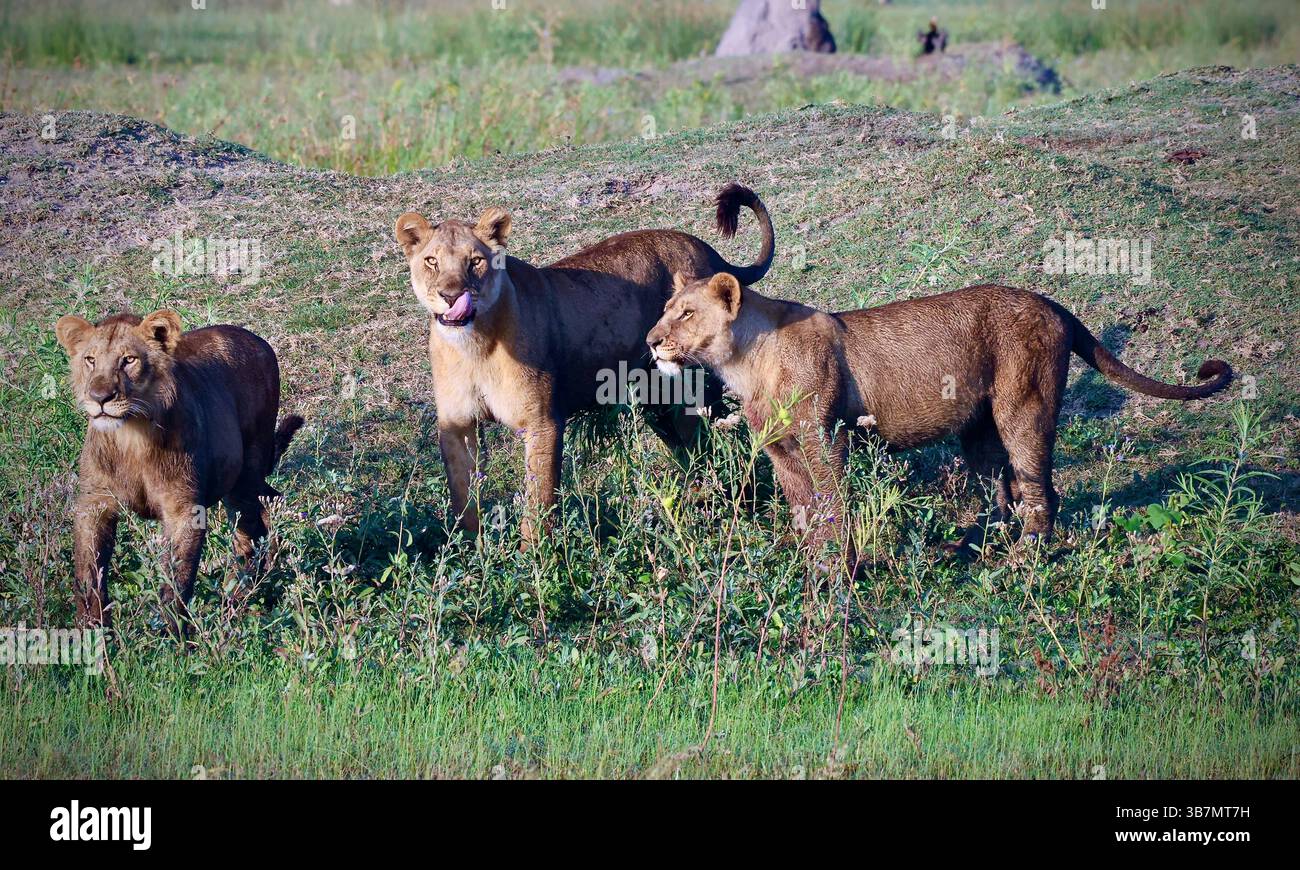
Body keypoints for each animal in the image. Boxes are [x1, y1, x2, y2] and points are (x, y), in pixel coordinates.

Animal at [55, 310, 303, 635]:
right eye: (90, 360)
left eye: (129, 360)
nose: (99, 397)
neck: (130, 437)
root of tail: (257, 339)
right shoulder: (94, 504)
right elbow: (87, 574)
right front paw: (92, 632)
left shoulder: (184, 510)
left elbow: (177, 577)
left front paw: (170, 637)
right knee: (261, 513)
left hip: (247, 472)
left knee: (256, 522)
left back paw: (241, 596)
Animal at [394, 183, 775, 542]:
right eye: (431, 261)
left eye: (475, 261)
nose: (451, 295)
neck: (474, 346)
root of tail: (709, 253)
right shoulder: (456, 426)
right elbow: (464, 500)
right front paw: (471, 554)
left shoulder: (542, 423)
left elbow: (539, 501)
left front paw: (535, 560)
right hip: (658, 403)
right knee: (693, 451)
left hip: (694, 393)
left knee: (724, 444)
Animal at [647, 275, 1232, 565]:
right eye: (665, 309)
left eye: (686, 313)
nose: (652, 341)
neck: (743, 362)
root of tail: (1051, 303)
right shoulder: (781, 451)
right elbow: (803, 509)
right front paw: (813, 563)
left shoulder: (825, 438)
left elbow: (832, 503)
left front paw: (841, 568)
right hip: (979, 429)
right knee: (1003, 486)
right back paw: (979, 545)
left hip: (1023, 404)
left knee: (1040, 485)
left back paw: (1026, 555)